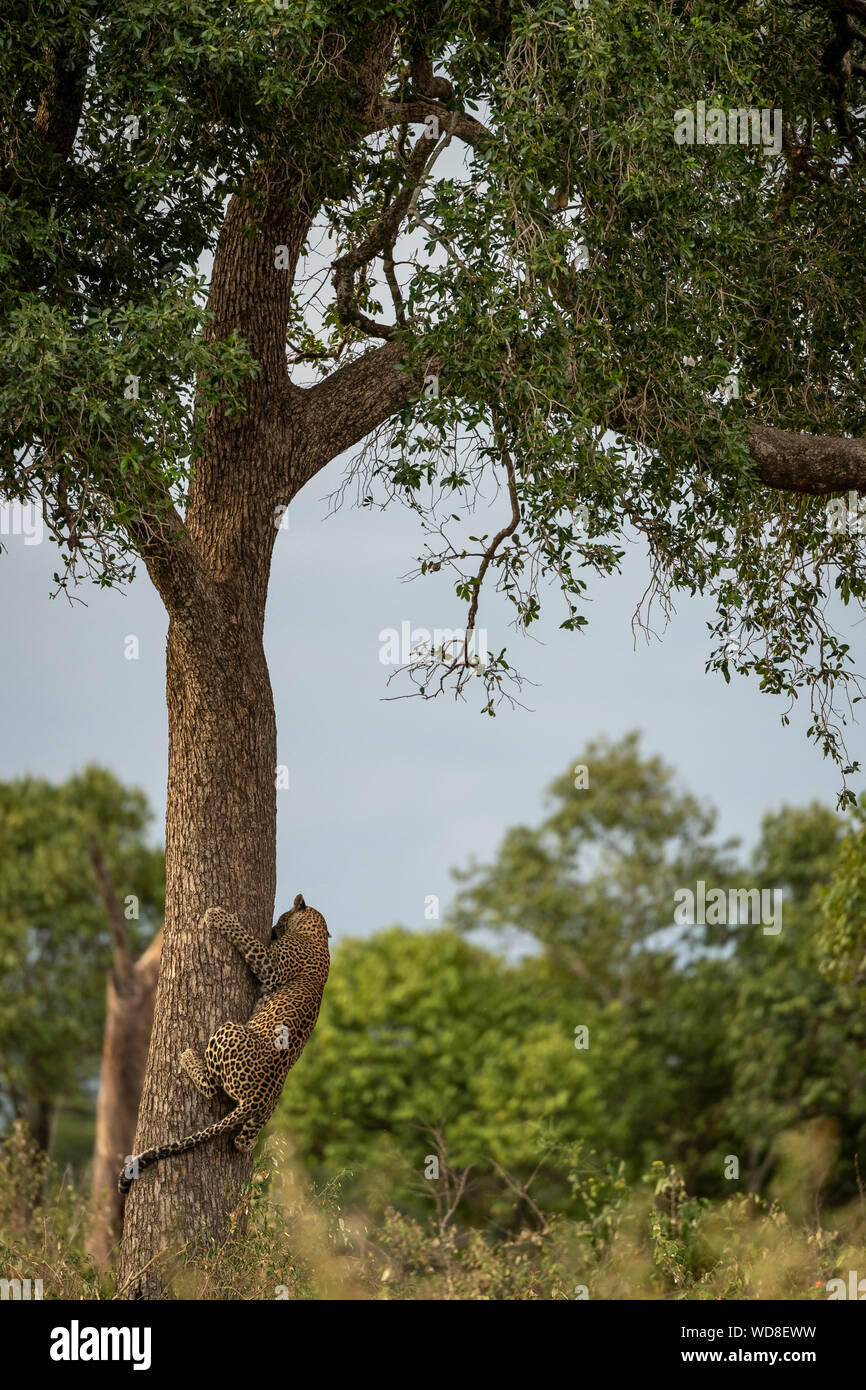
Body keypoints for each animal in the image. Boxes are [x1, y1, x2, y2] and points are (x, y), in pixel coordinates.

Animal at [118, 893, 329, 1196]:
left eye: (280, 918)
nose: (272, 929)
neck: (318, 935)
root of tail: (257, 1098)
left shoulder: (272, 966)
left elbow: (246, 938)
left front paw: (218, 916)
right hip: (267, 1109)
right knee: (243, 1141)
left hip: (229, 1028)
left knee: (210, 1087)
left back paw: (187, 1057)